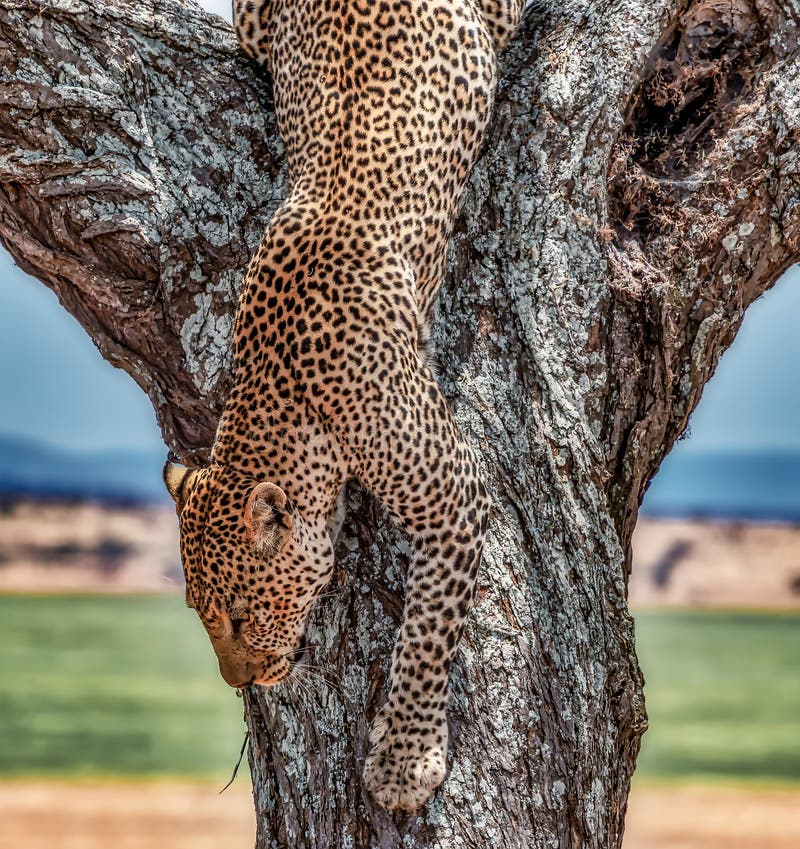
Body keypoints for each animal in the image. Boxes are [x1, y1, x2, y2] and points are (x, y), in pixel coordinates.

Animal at [164, 0, 525, 812]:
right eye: (200, 614)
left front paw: (404, 760)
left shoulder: (451, 489)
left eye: (241, 613)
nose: (239, 681)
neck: (280, 396)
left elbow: (428, 627)